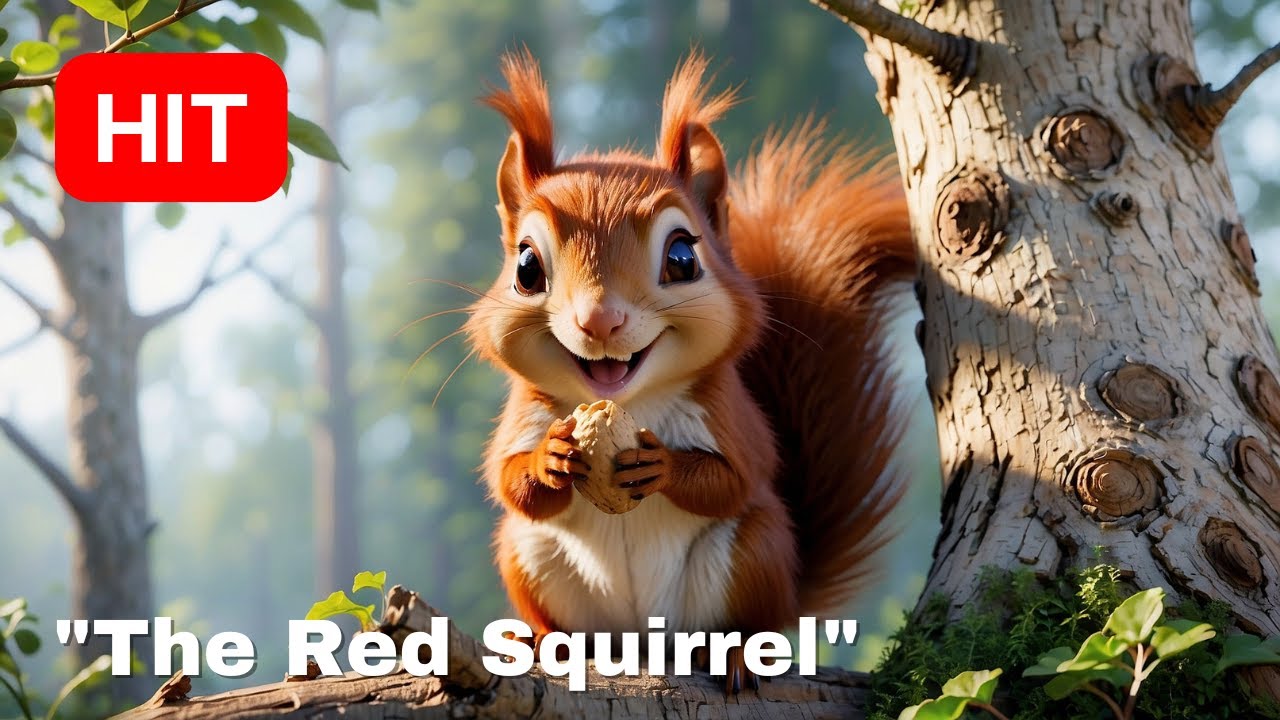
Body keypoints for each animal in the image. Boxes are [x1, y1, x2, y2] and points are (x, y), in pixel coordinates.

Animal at [465, 50, 915, 691]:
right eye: (526, 267)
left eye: (682, 257)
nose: (599, 320)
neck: (629, 402)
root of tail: (642, 642)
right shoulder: (524, 415)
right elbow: (509, 480)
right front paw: (551, 457)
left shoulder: (729, 417)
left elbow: (734, 478)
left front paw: (663, 465)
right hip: (527, 556)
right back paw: (546, 642)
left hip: (752, 556)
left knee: (752, 618)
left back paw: (735, 652)